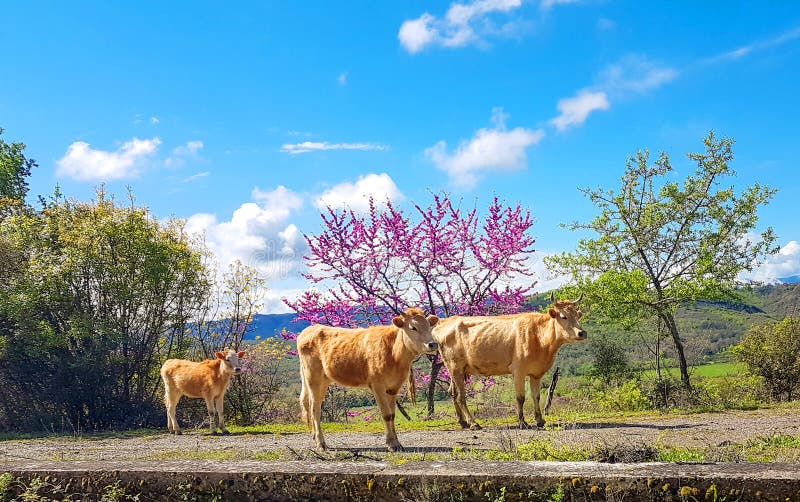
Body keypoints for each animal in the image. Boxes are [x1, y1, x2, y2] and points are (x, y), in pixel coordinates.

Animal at [297, 308, 439, 452]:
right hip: (313, 377)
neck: (395, 354)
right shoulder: (377, 385)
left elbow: (392, 415)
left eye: (429, 326)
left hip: (322, 379)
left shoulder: (394, 387)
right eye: (412, 327)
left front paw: (396, 443)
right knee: (314, 408)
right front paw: (391, 444)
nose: (432, 344)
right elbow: (386, 414)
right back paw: (321, 444)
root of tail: (309, 329)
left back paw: (315, 438)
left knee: (310, 404)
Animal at [434, 293, 586, 430]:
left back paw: (462, 422)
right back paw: (473, 423)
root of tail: (444, 321)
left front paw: (540, 420)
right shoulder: (518, 370)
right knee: (461, 396)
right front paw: (522, 422)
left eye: (577, 315)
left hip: (455, 369)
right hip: (455, 367)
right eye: (563, 316)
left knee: (452, 393)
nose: (582, 333)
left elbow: (536, 396)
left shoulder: (536, 373)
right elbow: (520, 397)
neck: (540, 337)